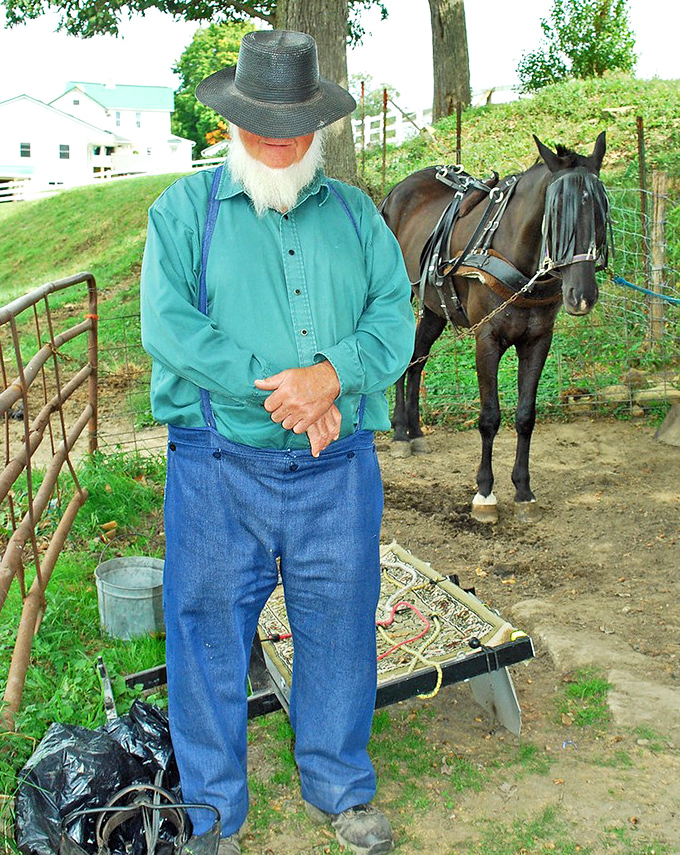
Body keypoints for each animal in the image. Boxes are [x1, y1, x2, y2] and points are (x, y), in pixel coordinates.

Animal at [380, 133, 612, 524]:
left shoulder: (538, 341)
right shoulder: (487, 339)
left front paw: (524, 491)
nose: (582, 296)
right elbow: (489, 417)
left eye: (601, 210)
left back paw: (414, 431)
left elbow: (525, 416)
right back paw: (398, 434)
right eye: (555, 214)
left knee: (418, 358)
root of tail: (396, 190)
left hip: (434, 308)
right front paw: (485, 493)